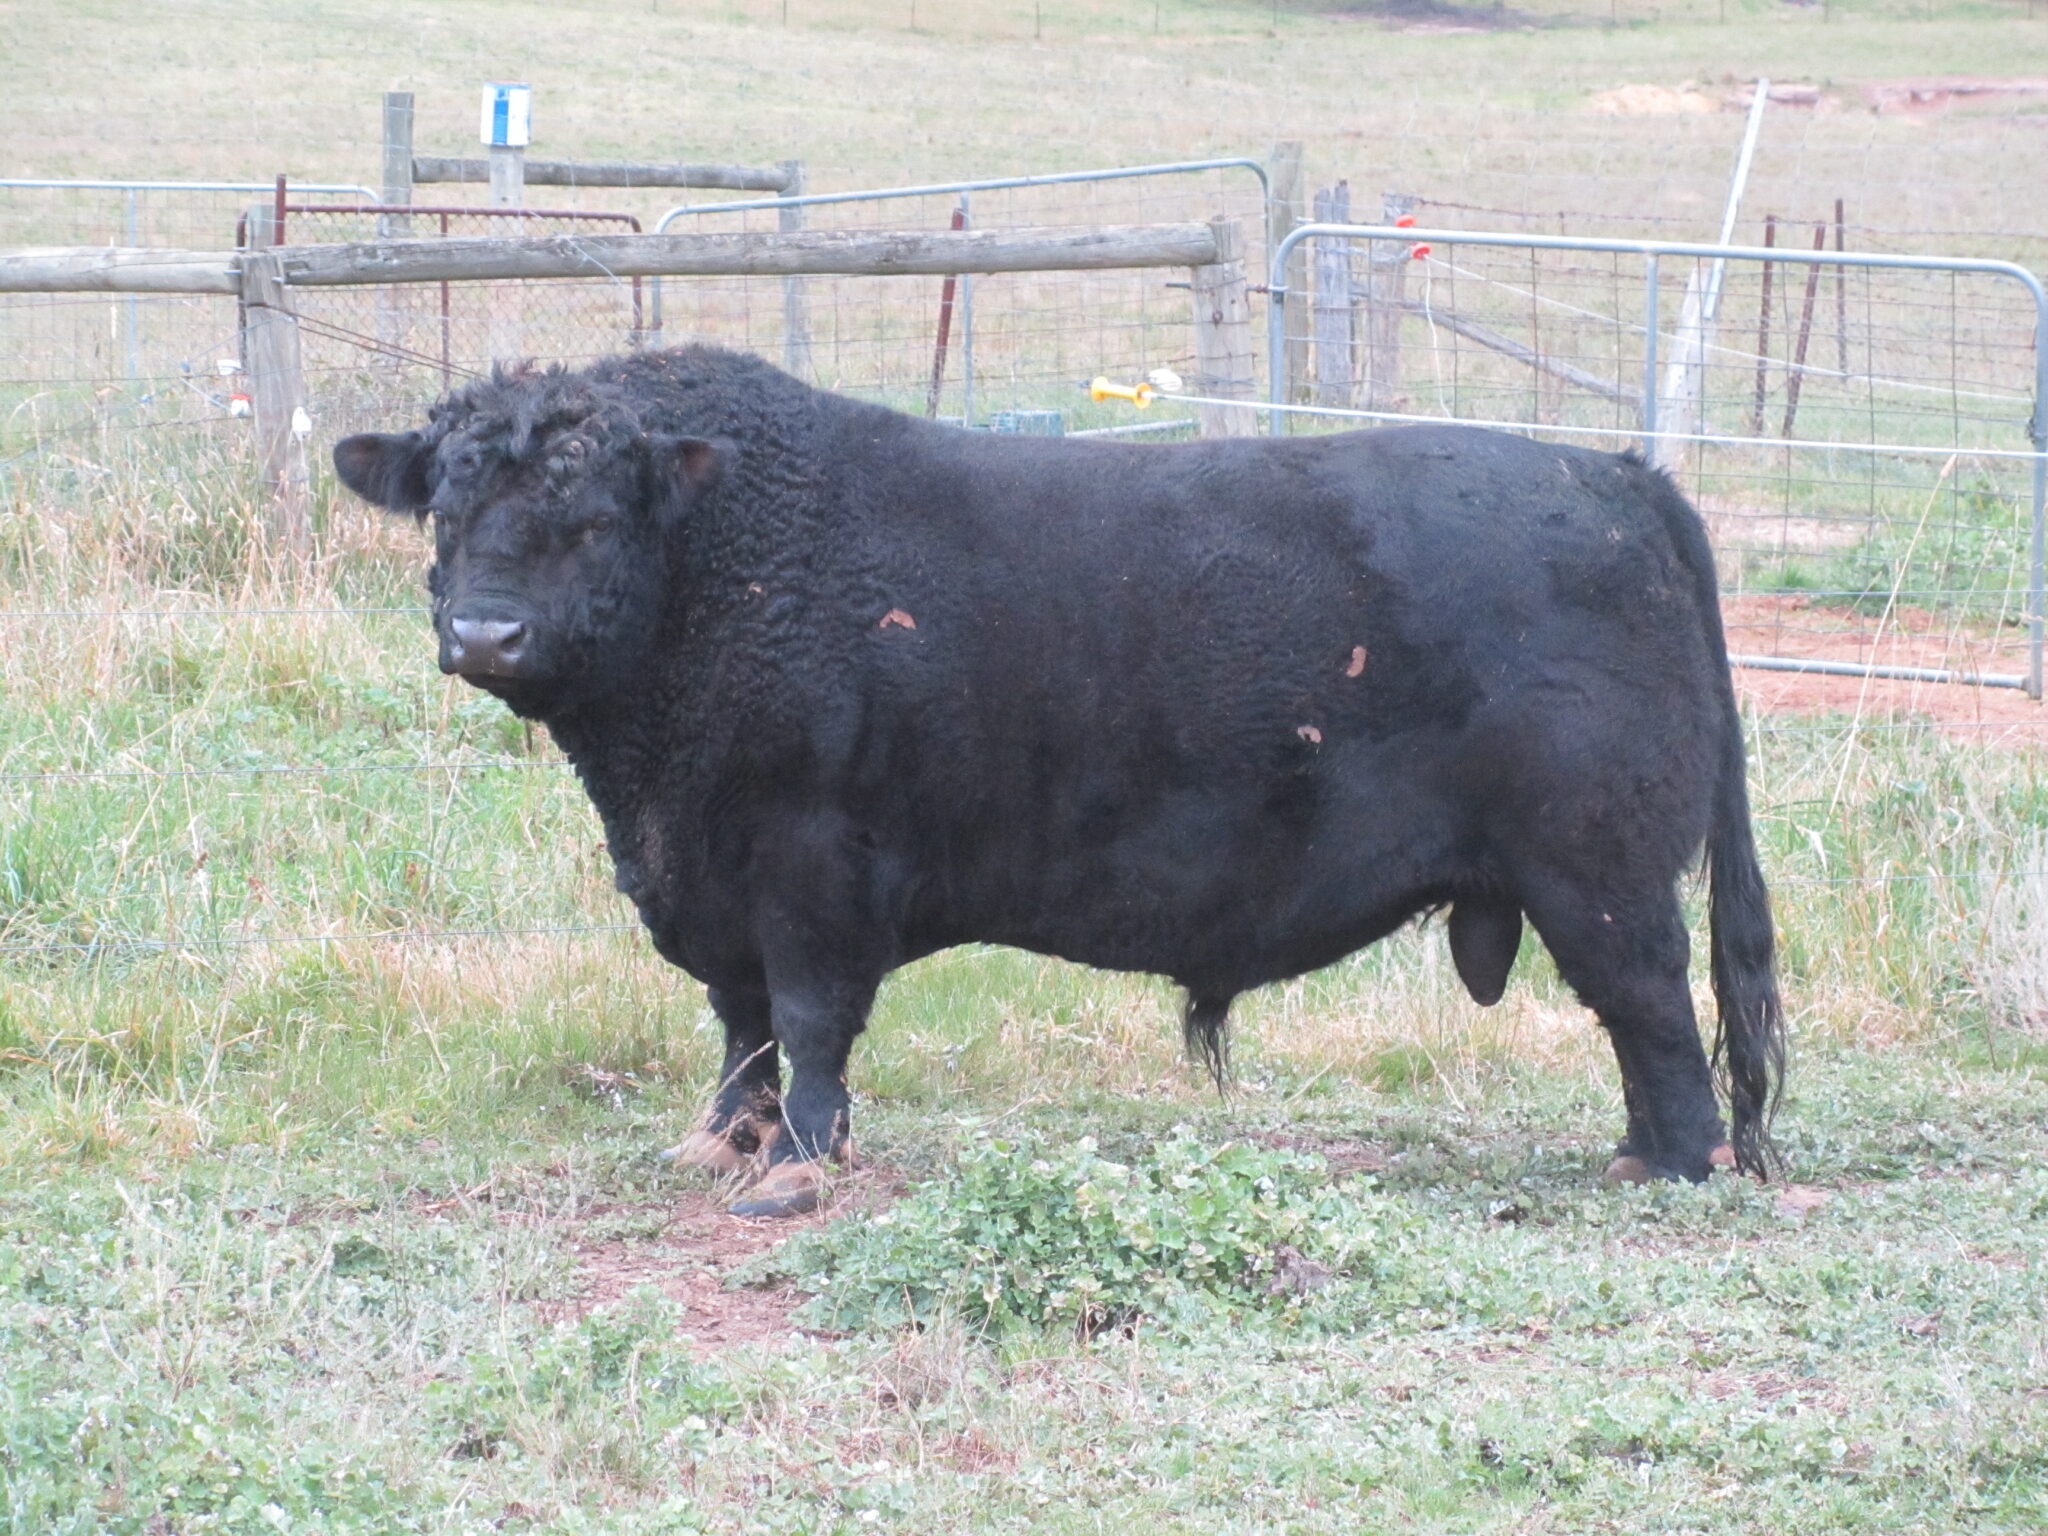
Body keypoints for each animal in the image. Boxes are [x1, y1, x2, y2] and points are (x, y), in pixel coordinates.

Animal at [334, 345, 1784, 1217]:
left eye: (591, 519)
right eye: (447, 509)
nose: (484, 635)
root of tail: (1612, 475)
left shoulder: (810, 870)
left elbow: (806, 1023)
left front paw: (794, 1167)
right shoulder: (710, 878)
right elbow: (738, 1025)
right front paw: (721, 1140)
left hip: (1599, 869)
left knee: (1656, 1016)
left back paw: (1668, 1166)